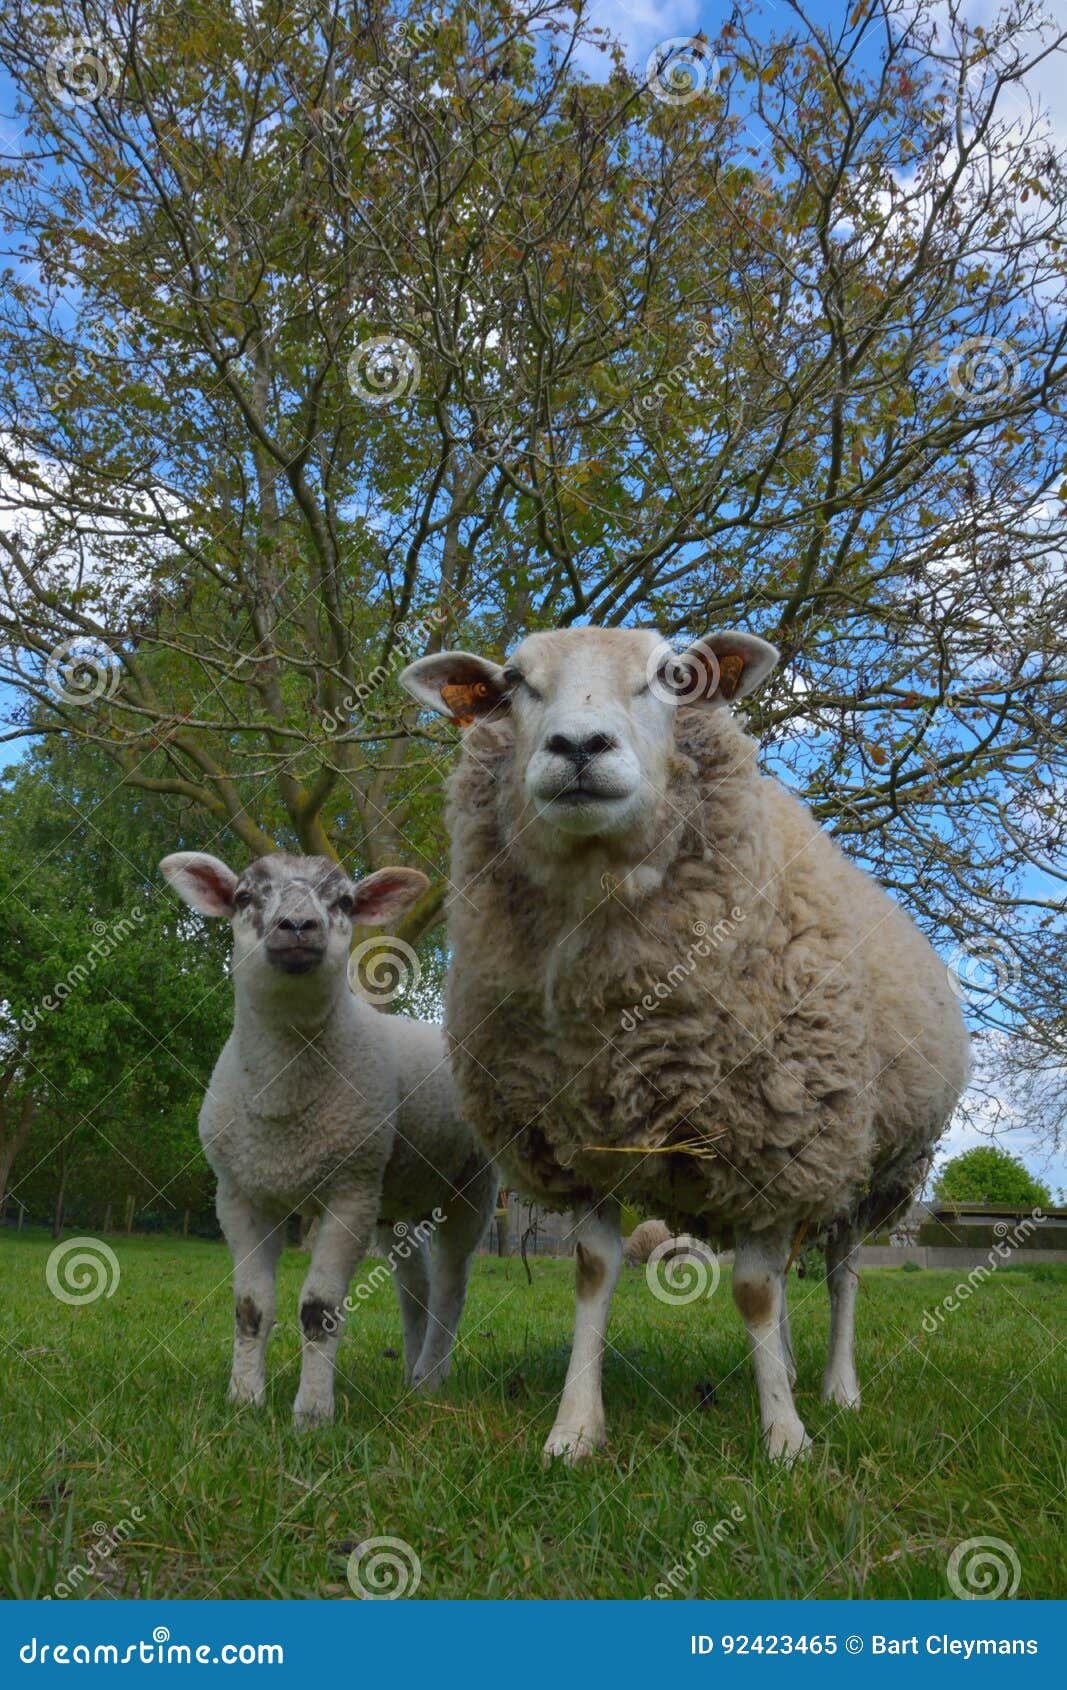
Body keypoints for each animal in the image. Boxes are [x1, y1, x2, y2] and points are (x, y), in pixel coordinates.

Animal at [159, 850, 496, 1428]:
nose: (298, 926)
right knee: (418, 1291)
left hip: (469, 1187)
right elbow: (250, 1308)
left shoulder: (350, 1190)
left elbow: (320, 1310)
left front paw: (313, 1414)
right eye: (244, 896)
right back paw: (410, 1377)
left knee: (452, 1288)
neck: (283, 1102)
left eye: (343, 901)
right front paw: (244, 1399)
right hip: (396, 1202)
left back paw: (432, 1378)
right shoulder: (240, 1195)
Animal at [401, 626, 969, 1462]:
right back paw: (788, 1368)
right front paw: (575, 1430)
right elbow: (593, 1275)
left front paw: (785, 1440)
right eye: (513, 682)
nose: (578, 746)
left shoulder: (776, 1143)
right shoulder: (580, 1146)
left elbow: (755, 1291)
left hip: (868, 1165)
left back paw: (836, 1387)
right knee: (794, 1269)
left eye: (671, 677)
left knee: (838, 1273)